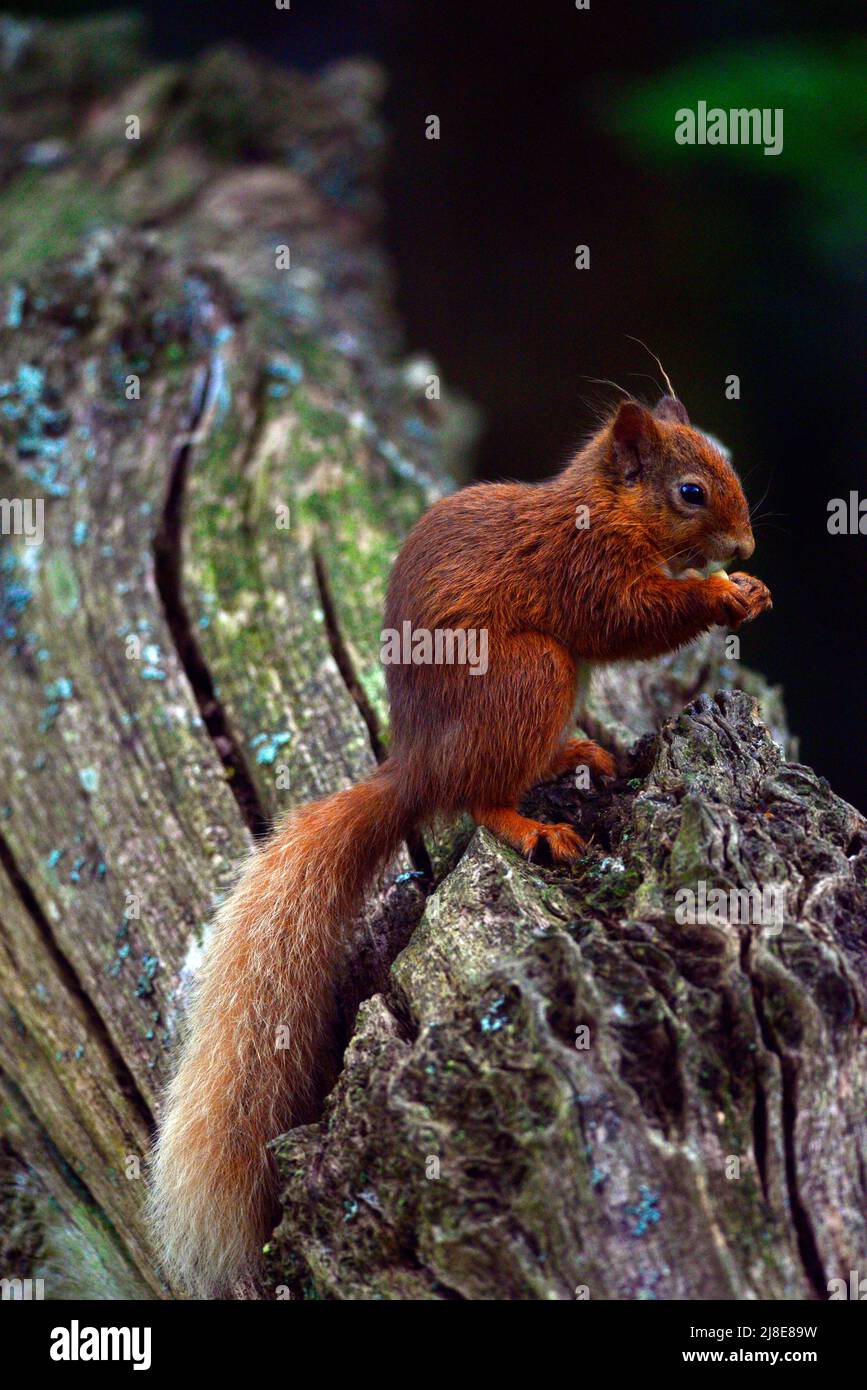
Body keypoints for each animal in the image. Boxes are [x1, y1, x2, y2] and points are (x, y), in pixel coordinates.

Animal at [148, 394, 772, 1296]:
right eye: (690, 491)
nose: (745, 548)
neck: (604, 509)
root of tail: (418, 768)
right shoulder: (582, 569)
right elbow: (628, 618)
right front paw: (723, 596)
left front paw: (746, 587)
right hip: (533, 673)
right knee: (481, 801)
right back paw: (532, 825)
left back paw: (577, 756)